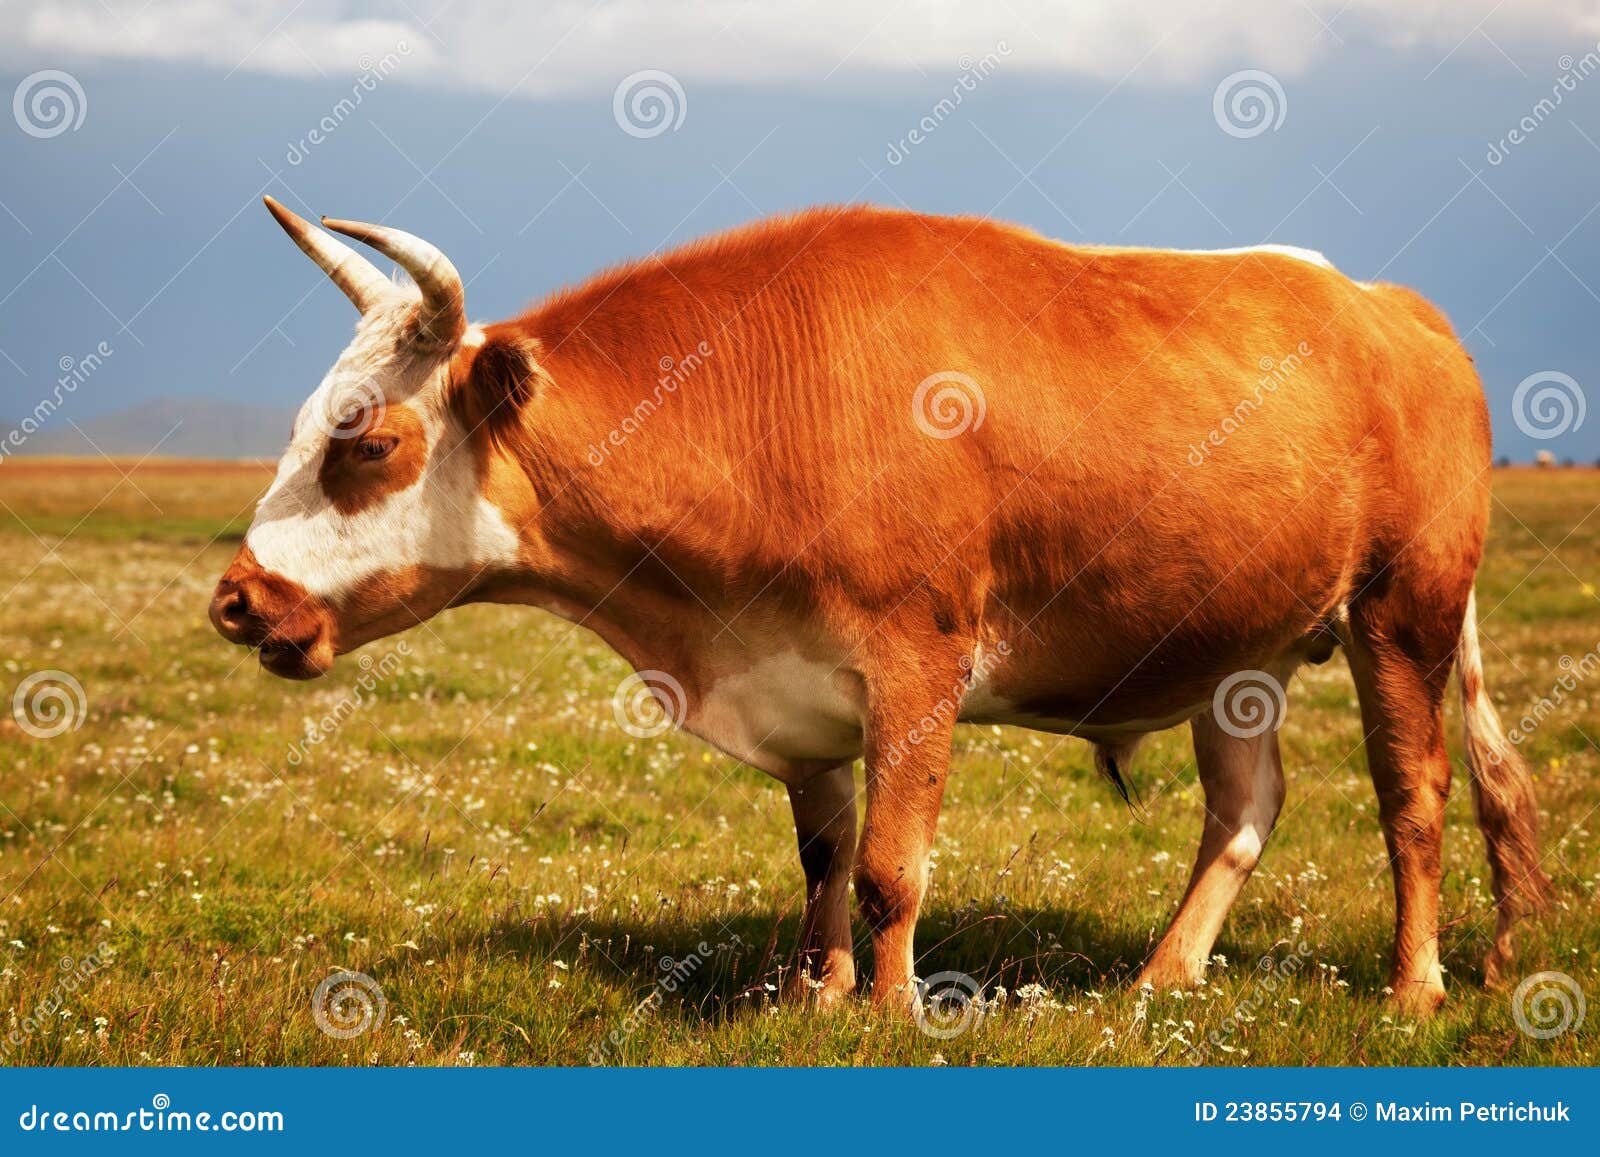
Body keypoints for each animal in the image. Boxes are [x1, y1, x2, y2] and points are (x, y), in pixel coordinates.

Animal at [211, 196, 1547, 1017]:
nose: (236, 596)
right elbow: (825, 852)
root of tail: (1390, 309)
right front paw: (816, 989)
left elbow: (893, 863)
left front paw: (892, 1009)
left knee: (1414, 792)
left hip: (1402, 611)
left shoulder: (917, 661)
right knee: (1245, 806)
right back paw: (1163, 978)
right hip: (1239, 649)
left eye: (369, 440)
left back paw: (1414, 984)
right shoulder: (798, 681)